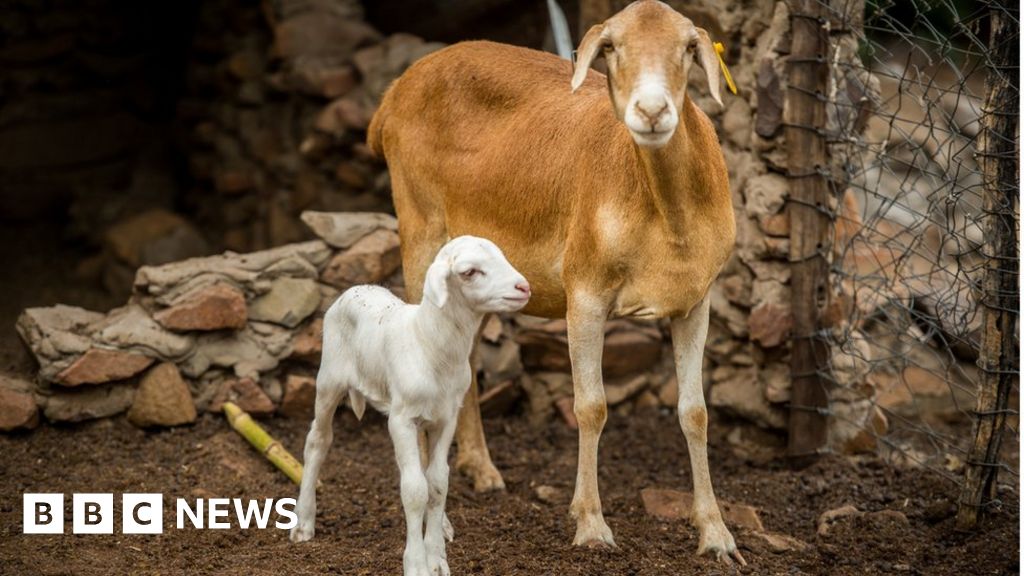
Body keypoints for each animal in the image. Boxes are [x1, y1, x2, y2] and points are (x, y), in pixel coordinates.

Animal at [290, 236, 531, 576]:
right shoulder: (401, 420)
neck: (429, 344)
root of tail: (357, 287)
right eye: (470, 272)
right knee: (317, 441)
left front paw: (438, 559)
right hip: (329, 379)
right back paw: (304, 522)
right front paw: (417, 563)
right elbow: (415, 490)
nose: (523, 287)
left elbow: (438, 482)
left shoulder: (446, 417)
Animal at [367, 0, 743, 565]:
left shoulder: (695, 301)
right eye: (612, 48)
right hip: (419, 228)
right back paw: (446, 521)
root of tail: (395, 91)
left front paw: (717, 535)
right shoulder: (584, 292)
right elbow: (591, 407)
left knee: (464, 362)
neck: (666, 219)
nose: (652, 111)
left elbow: (694, 412)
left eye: (687, 48)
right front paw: (591, 525)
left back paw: (484, 470)